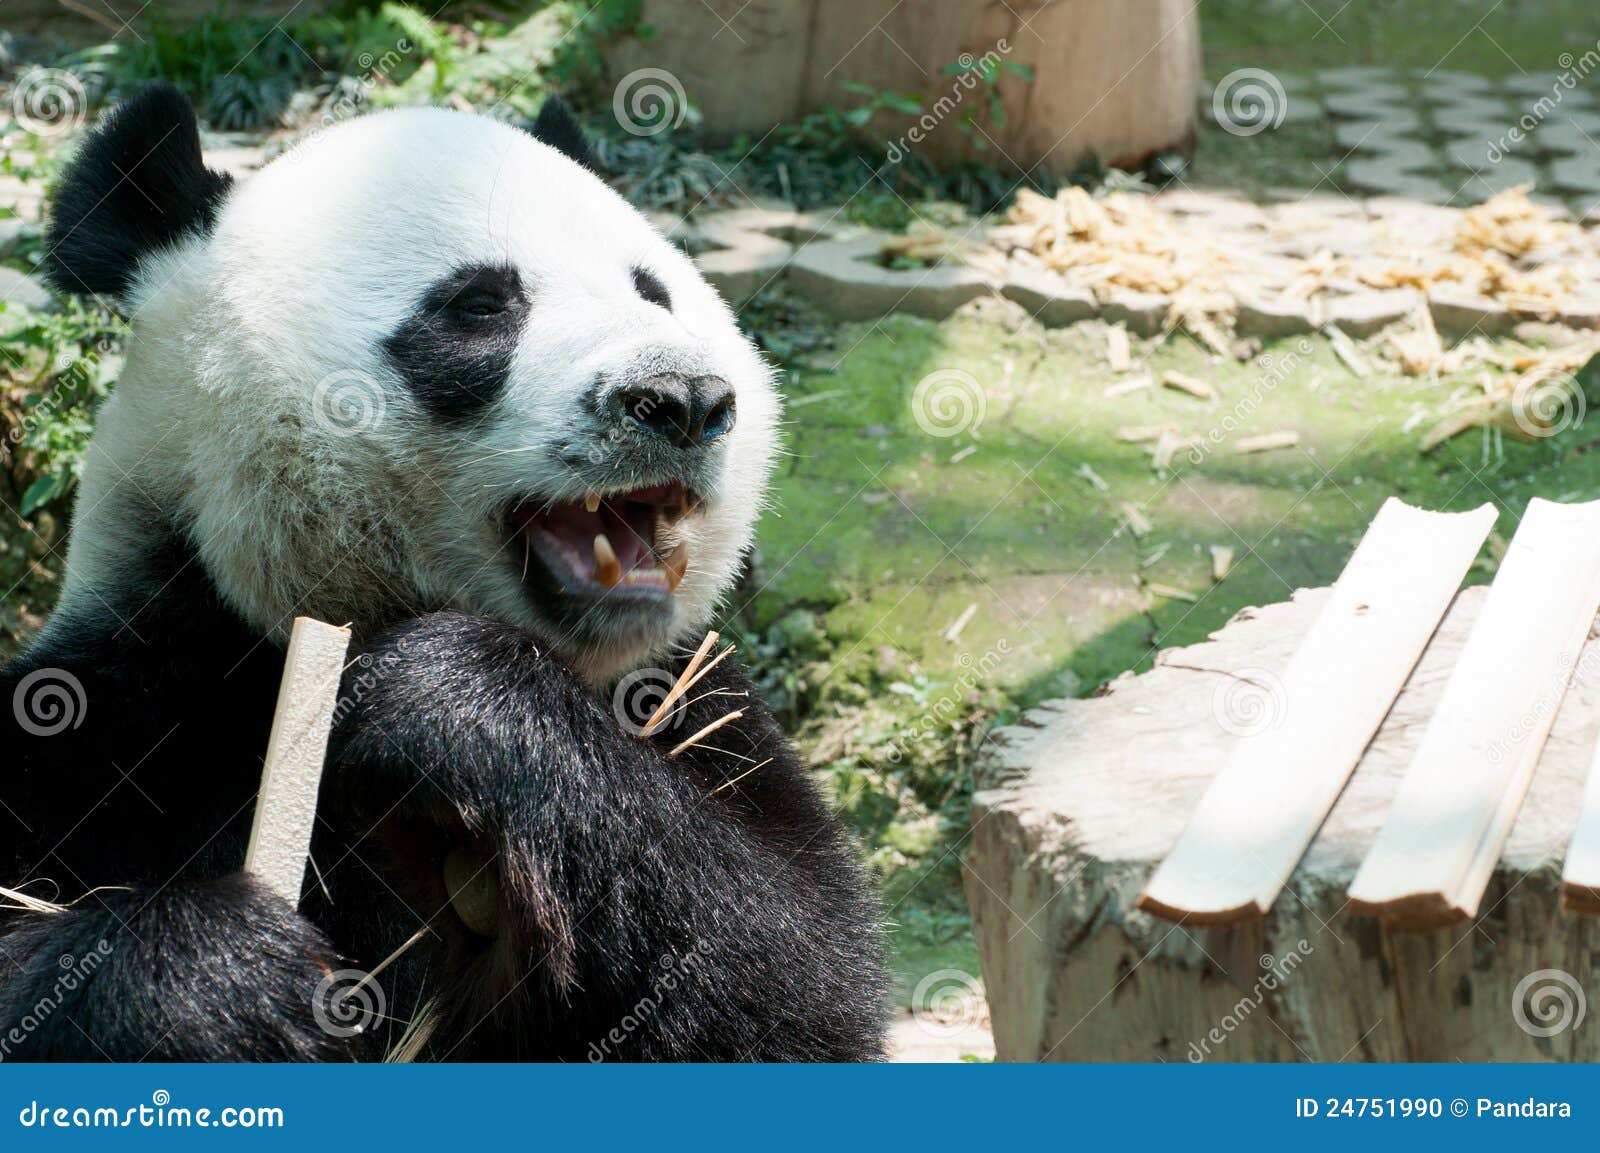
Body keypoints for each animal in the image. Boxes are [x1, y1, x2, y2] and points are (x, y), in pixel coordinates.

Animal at [0, 85, 887, 1061]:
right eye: (480, 304)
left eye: (654, 291)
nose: (683, 399)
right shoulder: (121, 704)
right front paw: (219, 979)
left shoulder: (692, 697)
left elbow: (798, 968)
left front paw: (453, 698)